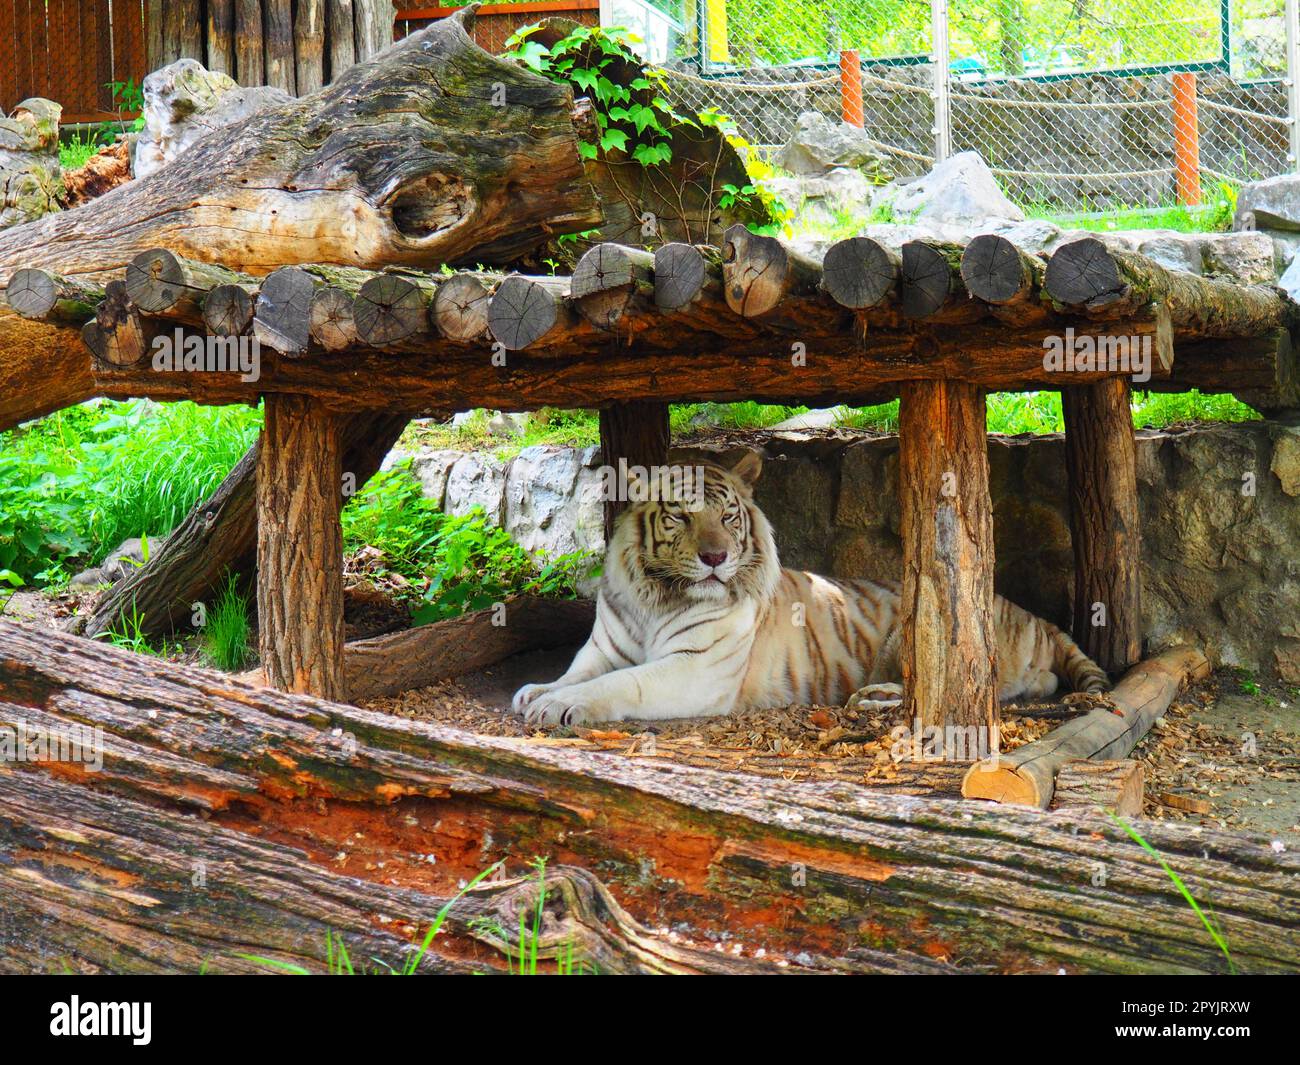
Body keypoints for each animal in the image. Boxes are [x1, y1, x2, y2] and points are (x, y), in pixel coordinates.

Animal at [511, 452, 1109, 727]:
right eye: (680, 516)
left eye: (728, 517)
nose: (715, 558)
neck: (655, 598)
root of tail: (1033, 616)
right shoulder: (603, 648)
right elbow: (578, 672)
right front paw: (538, 691)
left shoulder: (694, 669)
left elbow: (622, 684)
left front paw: (559, 706)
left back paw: (872, 697)